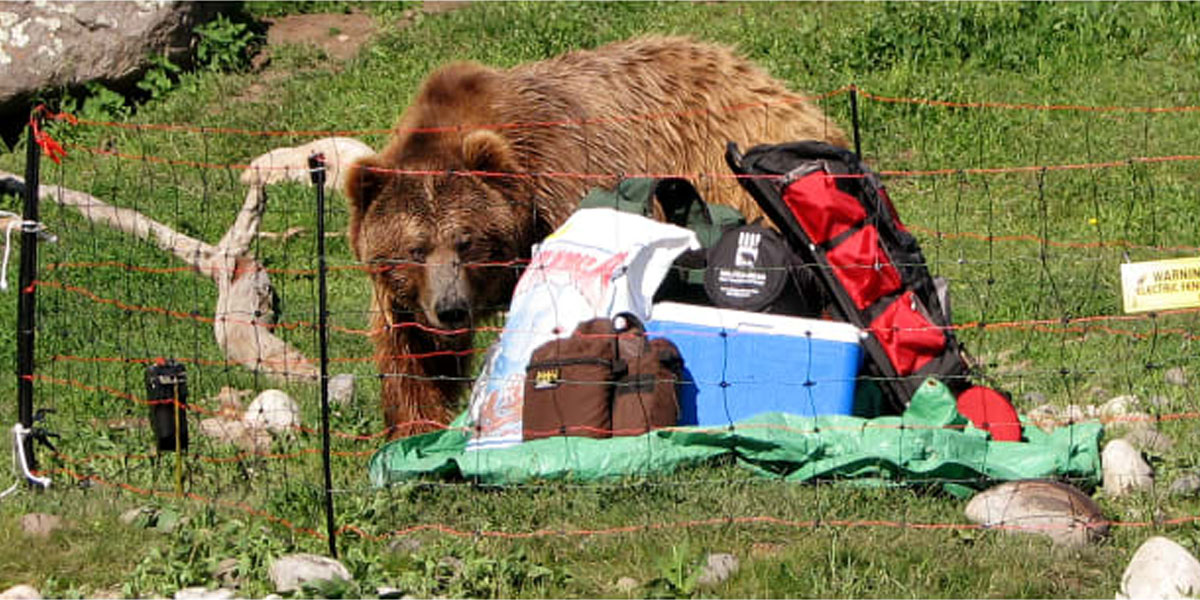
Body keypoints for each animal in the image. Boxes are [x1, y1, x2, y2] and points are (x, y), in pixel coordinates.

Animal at [345, 36, 848, 437]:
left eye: (467, 241)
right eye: (415, 248)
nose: (450, 309)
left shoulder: (563, 180)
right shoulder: (406, 295)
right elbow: (410, 352)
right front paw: (413, 429)